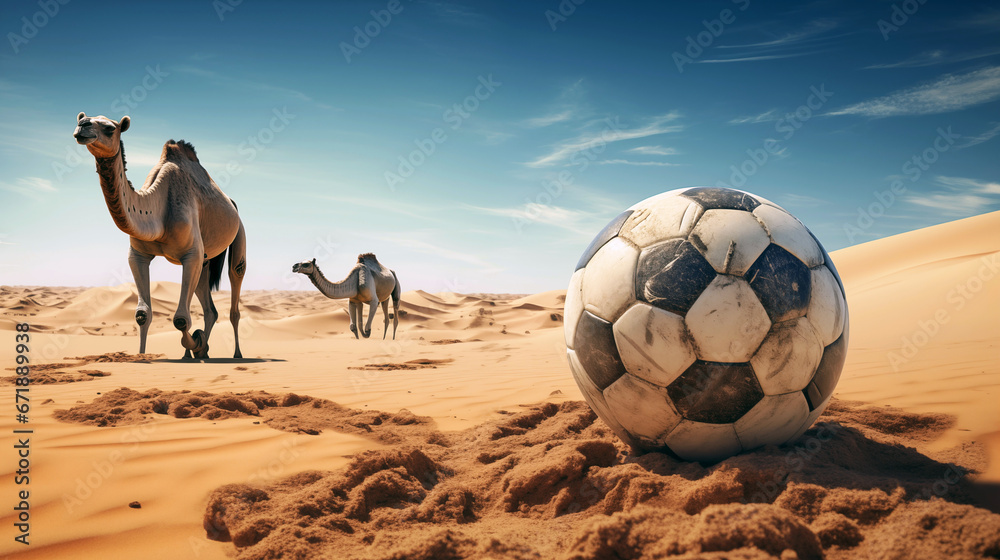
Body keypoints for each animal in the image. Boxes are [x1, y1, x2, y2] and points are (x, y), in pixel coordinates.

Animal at [73, 112, 246, 359]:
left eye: (109, 128)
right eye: (82, 118)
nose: (82, 125)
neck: (157, 210)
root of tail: (232, 203)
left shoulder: (191, 253)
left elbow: (181, 319)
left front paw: (197, 341)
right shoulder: (138, 255)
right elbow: (142, 314)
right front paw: (144, 355)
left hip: (238, 233)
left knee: (235, 284)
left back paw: (236, 354)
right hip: (205, 261)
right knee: (209, 308)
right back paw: (195, 353)